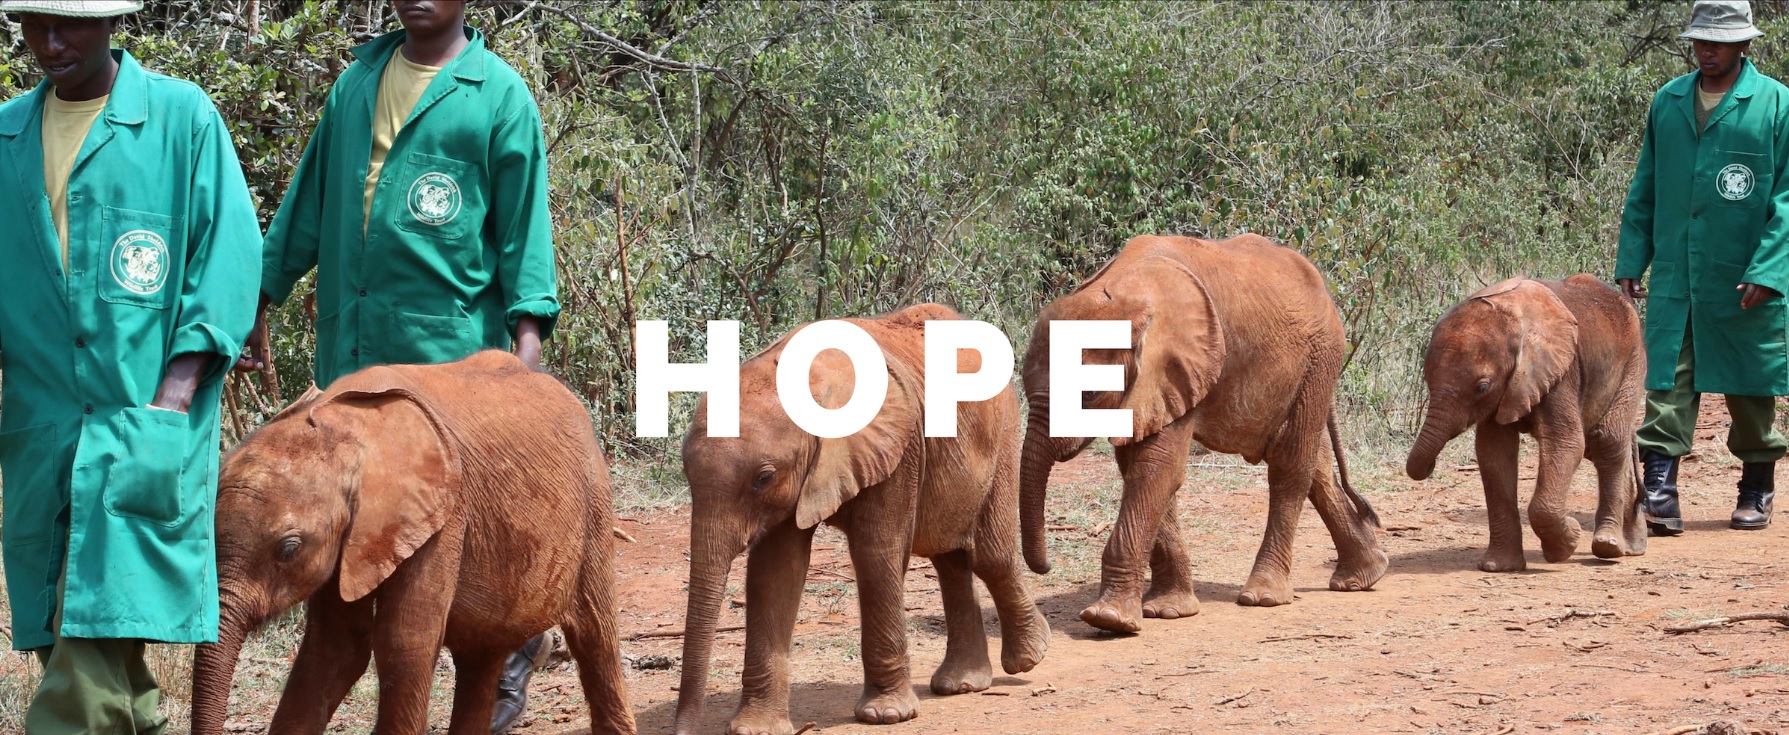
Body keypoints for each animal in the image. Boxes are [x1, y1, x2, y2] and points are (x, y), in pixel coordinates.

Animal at [190, 351, 635, 735]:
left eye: (288, 549)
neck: (348, 426)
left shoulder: (445, 515)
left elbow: (404, 645)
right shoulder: (353, 537)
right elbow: (333, 649)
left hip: (594, 500)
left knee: (595, 634)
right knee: (480, 656)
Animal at [672, 303, 1051, 735]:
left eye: (763, 478)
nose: (681, 731)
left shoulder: (898, 447)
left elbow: (875, 553)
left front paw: (885, 716)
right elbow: (774, 572)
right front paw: (756, 730)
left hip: (1004, 429)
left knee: (988, 554)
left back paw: (1029, 657)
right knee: (949, 555)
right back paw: (962, 684)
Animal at [1017, 234, 1387, 634]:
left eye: (1090, 394)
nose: (1046, 566)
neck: (1127, 294)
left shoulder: (1177, 365)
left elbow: (1157, 468)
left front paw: (1109, 620)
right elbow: (1142, 468)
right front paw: (1167, 611)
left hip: (1321, 355)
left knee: (1291, 463)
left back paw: (1264, 596)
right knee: (1312, 461)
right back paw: (1364, 577)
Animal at [1405, 275, 1649, 571]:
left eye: (1482, 387)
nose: (1431, 466)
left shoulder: (1559, 372)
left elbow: (1566, 443)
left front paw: (1567, 543)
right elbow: (1494, 452)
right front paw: (1499, 567)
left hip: (1633, 361)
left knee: (1607, 441)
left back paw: (1609, 546)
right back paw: (1632, 545)